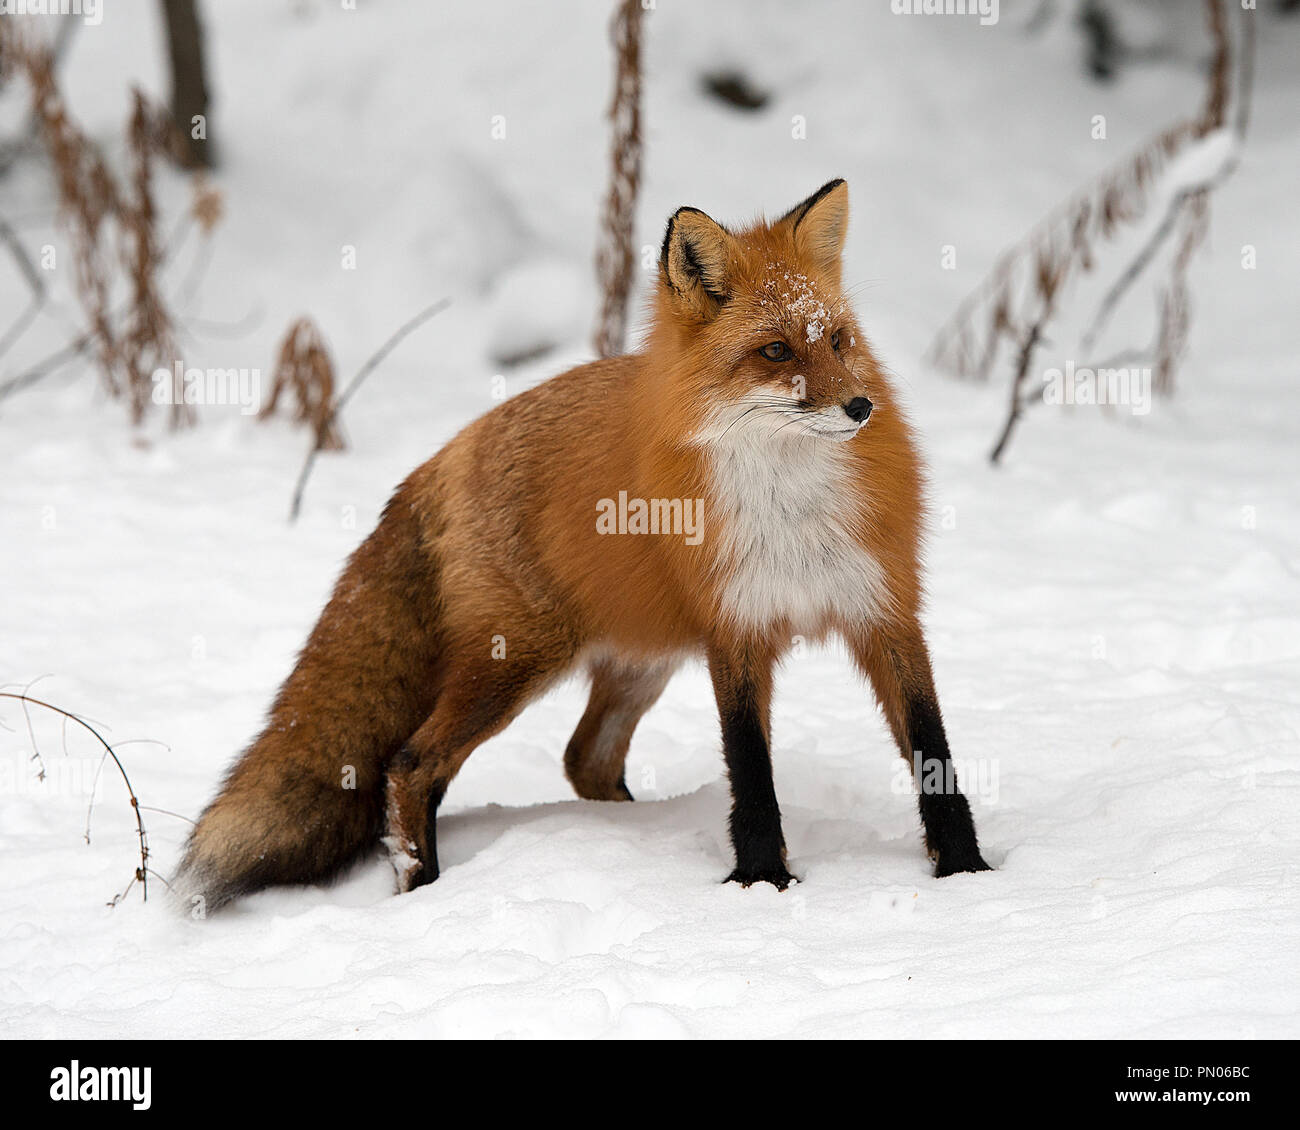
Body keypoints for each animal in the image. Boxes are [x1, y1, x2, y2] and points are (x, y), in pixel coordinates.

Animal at [175, 179, 992, 912]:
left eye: (838, 340)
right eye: (775, 351)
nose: (860, 406)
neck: (791, 510)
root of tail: (442, 456)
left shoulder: (885, 613)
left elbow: (934, 754)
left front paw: (966, 874)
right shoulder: (734, 630)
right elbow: (751, 770)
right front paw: (763, 883)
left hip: (639, 661)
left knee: (585, 758)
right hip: (520, 657)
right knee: (411, 764)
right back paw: (422, 891)